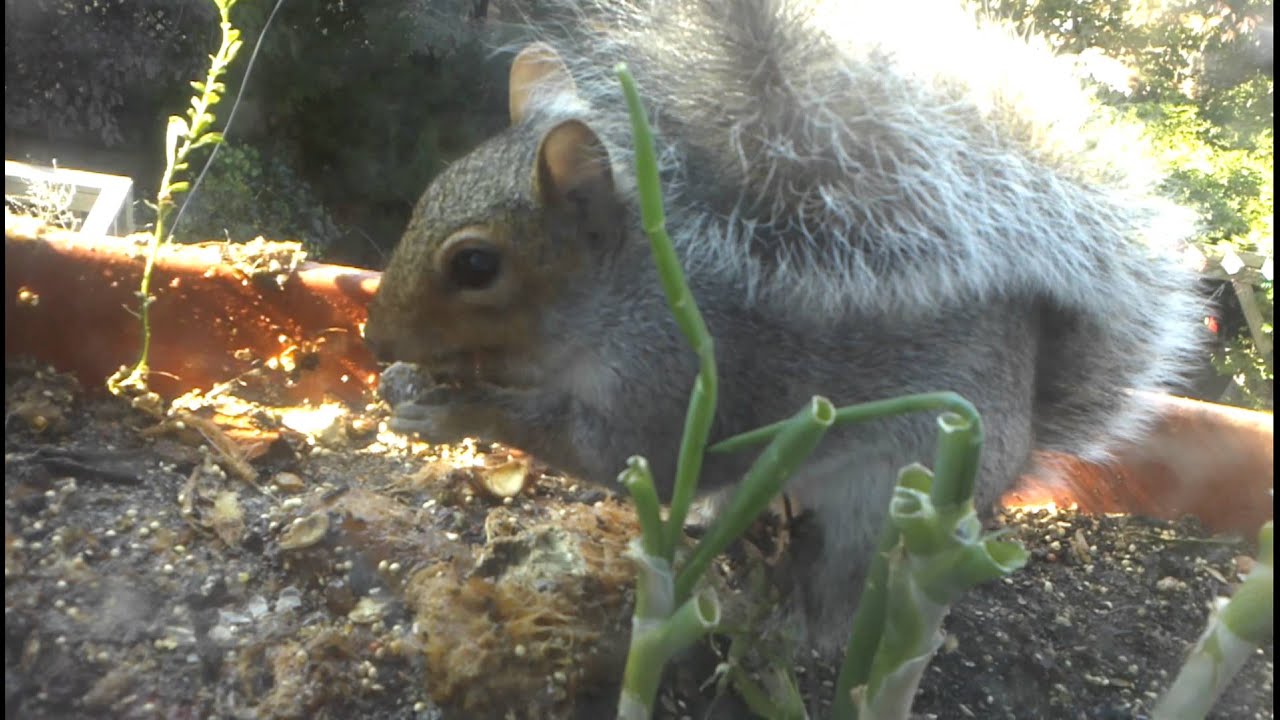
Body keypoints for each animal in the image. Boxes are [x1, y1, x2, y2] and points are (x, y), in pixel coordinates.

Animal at [363, 0, 1207, 656]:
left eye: (476, 265)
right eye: (429, 189)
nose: (376, 341)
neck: (626, 297)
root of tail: (1025, 436)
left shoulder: (672, 377)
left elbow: (617, 453)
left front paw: (456, 410)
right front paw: (411, 384)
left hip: (896, 497)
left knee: (847, 591)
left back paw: (794, 632)